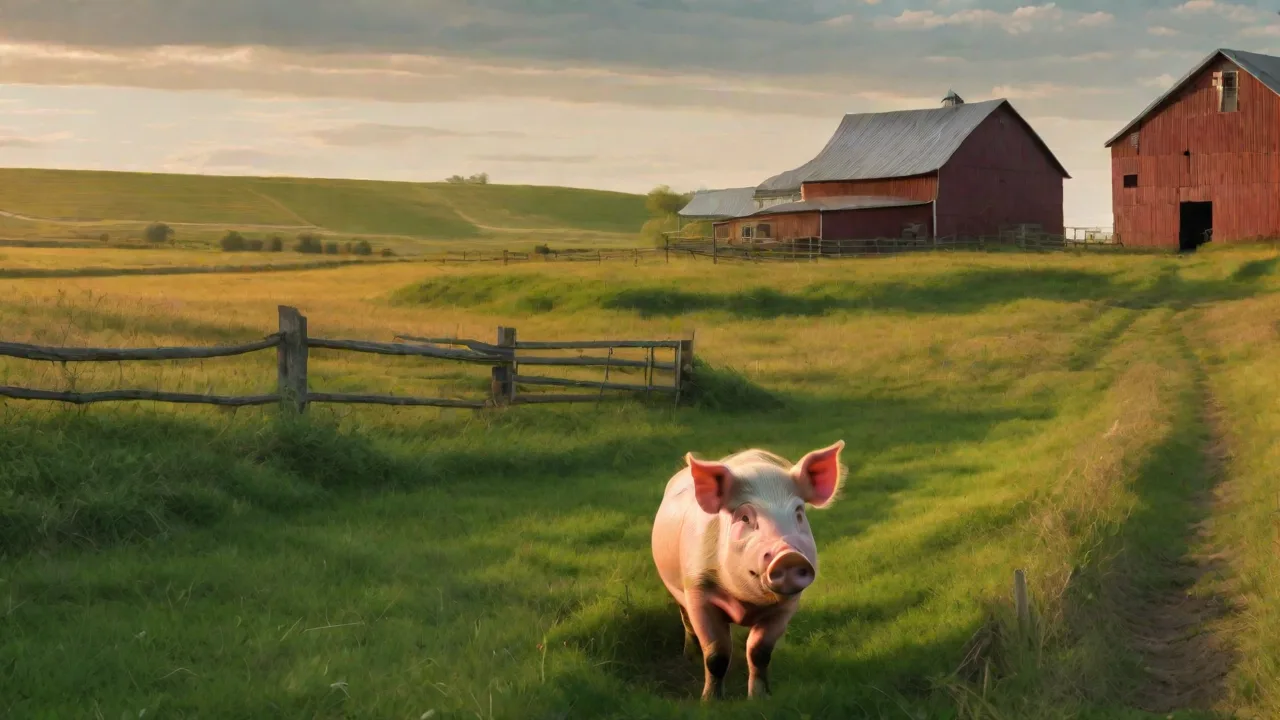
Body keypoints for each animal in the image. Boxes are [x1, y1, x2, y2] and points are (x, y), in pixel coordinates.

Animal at [650, 441, 846, 701]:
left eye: (798, 514)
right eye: (744, 517)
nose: (788, 556)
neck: (746, 605)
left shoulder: (786, 606)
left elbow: (759, 653)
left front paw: (759, 698)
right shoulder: (698, 591)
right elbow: (717, 654)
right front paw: (709, 701)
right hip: (676, 588)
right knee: (687, 622)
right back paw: (689, 656)